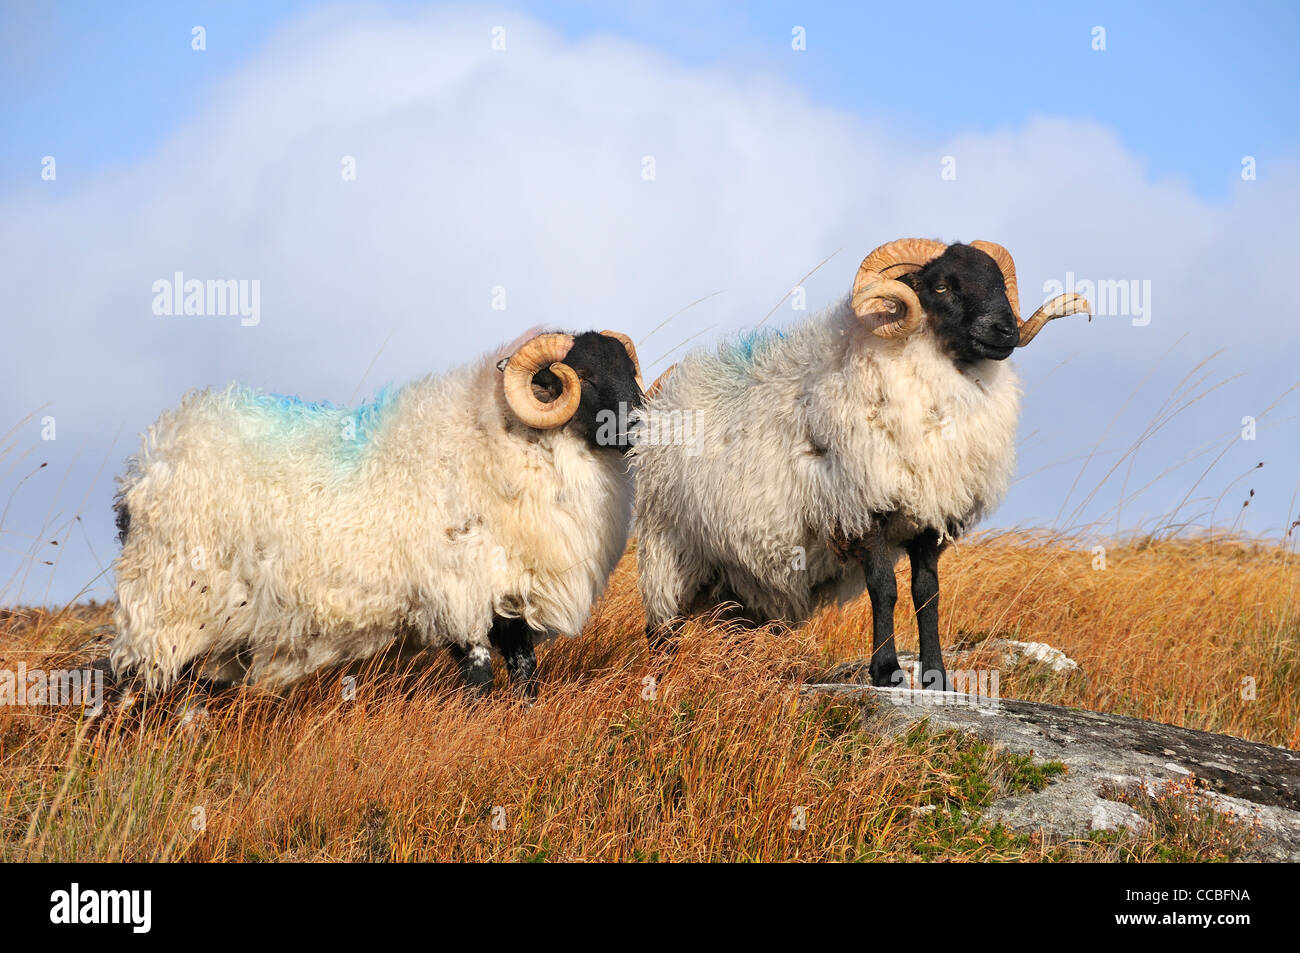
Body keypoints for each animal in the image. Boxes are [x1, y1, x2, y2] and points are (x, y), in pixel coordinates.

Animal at [110, 329, 645, 698]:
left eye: (629, 370)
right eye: (584, 377)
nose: (648, 425)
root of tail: (149, 464)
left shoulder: (508, 598)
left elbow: (525, 677)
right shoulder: (456, 594)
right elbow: (478, 680)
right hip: (166, 606)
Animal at [633, 238, 1089, 690]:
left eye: (999, 282)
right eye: (941, 286)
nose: (1005, 330)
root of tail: (664, 398)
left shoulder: (929, 517)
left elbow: (927, 594)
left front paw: (936, 677)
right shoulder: (862, 507)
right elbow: (884, 588)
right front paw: (886, 671)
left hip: (740, 576)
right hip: (667, 552)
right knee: (661, 630)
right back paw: (659, 681)